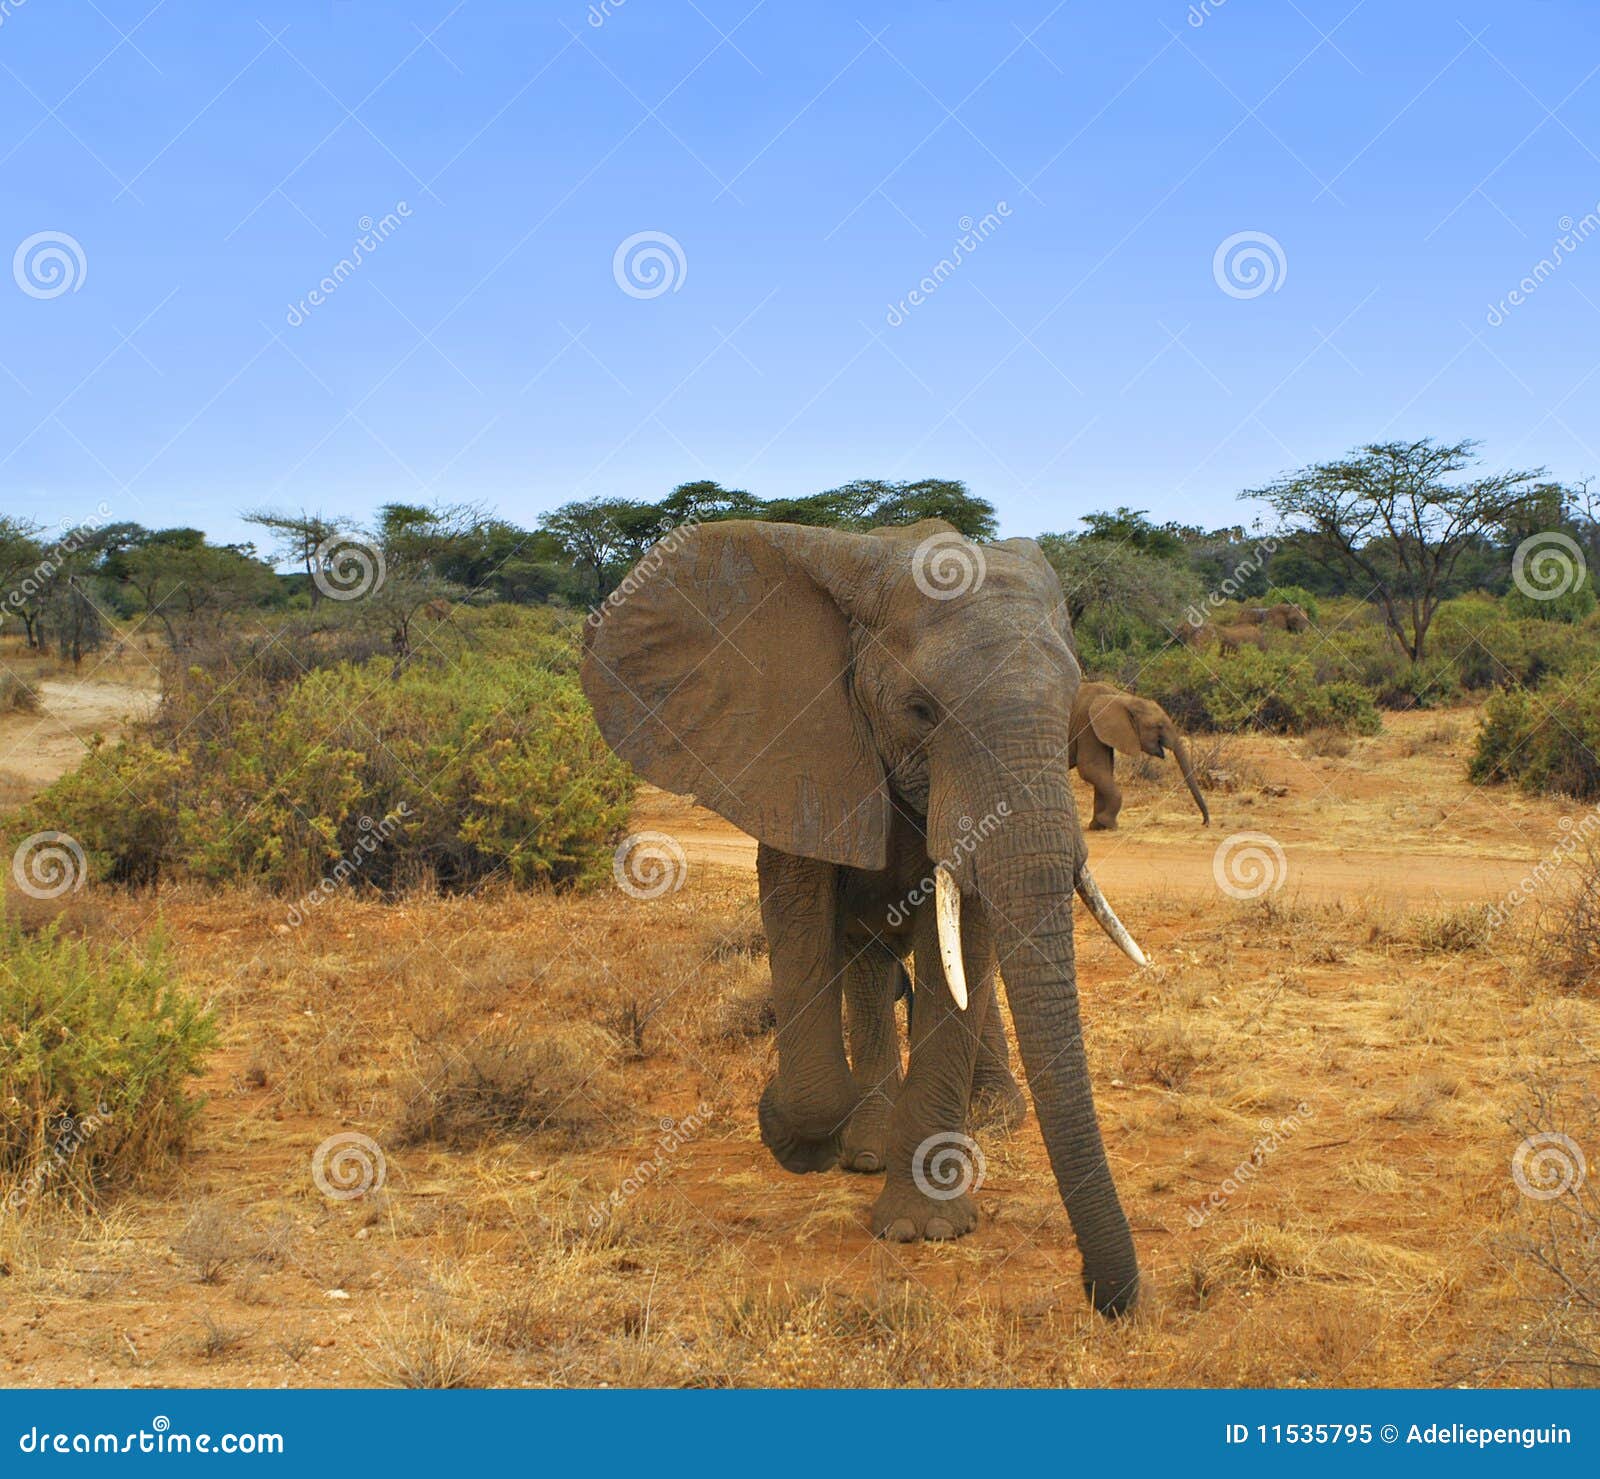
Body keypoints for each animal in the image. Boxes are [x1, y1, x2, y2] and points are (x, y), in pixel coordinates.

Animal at [582, 519, 1147, 1316]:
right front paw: (787, 1129)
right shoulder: (797, 752)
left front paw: (924, 1228)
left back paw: (982, 1120)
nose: (1103, 1293)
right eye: (920, 711)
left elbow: (966, 942)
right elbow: (798, 916)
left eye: (1069, 706)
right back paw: (868, 1145)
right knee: (867, 966)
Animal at [1070, 681, 1210, 831]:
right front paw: (1109, 824)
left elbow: (1105, 770)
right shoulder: (1087, 725)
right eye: (1159, 726)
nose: (1205, 823)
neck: (1125, 698)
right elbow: (1091, 769)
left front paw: (1099, 826)